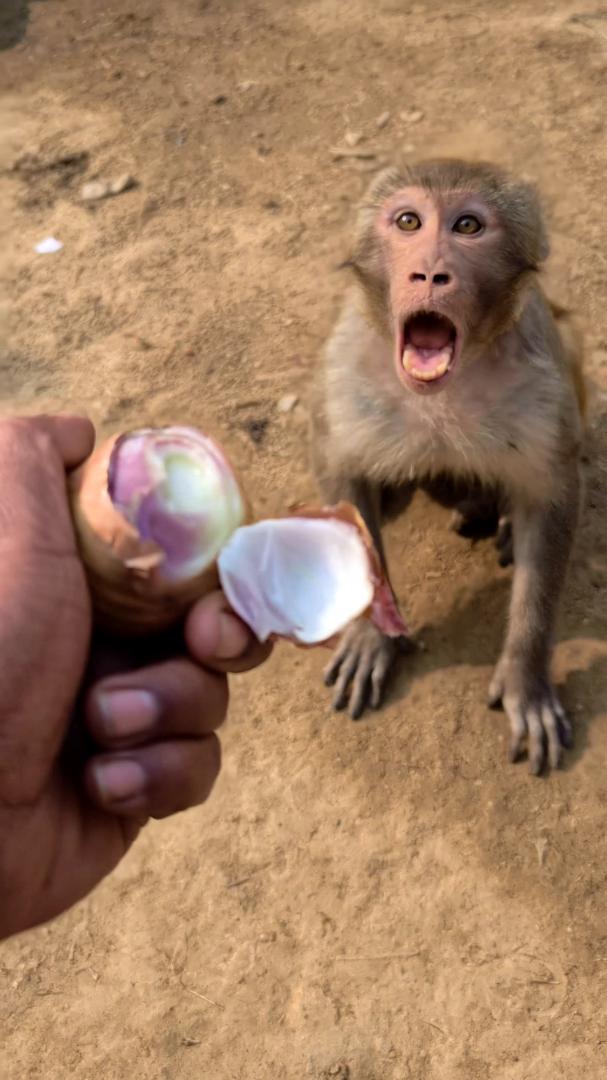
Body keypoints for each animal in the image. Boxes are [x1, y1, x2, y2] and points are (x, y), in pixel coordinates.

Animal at [310, 158, 585, 775]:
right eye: (408, 221)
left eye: (468, 226)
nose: (430, 274)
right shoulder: (345, 369)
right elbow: (343, 474)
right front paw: (370, 636)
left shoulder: (543, 384)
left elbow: (550, 499)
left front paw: (526, 680)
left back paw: (491, 513)